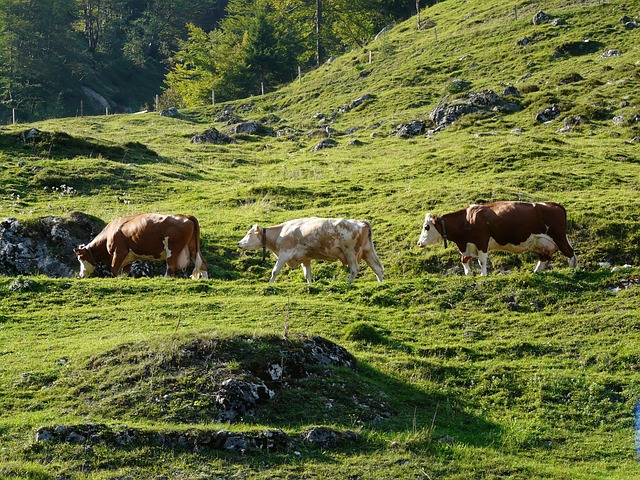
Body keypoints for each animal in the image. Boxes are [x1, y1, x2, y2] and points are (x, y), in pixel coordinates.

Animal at [73, 213, 208, 279]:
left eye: (80, 259)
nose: (80, 275)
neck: (109, 234)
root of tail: (185, 216)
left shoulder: (119, 252)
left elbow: (114, 270)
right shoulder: (129, 257)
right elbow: (125, 272)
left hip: (173, 249)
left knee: (170, 268)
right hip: (192, 247)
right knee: (203, 263)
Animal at [237, 217, 384, 283]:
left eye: (249, 233)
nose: (239, 243)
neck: (281, 232)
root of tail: (361, 222)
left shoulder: (284, 254)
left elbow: (275, 271)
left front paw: (270, 284)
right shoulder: (305, 258)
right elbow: (307, 274)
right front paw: (309, 284)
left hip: (350, 252)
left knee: (354, 268)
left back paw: (348, 283)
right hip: (367, 252)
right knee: (377, 268)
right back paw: (380, 283)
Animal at [417, 201, 578, 275]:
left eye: (426, 227)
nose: (419, 243)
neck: (467, 219)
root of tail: (554, 205)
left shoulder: (482, 241)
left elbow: (481, 261)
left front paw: (483, 275)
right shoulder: (468, 245)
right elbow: (464, 260)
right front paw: (469, 274)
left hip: (559, 236)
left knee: (570, 253)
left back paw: (573, 270)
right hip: (540, 242)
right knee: (544, 257)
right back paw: (535, 272)